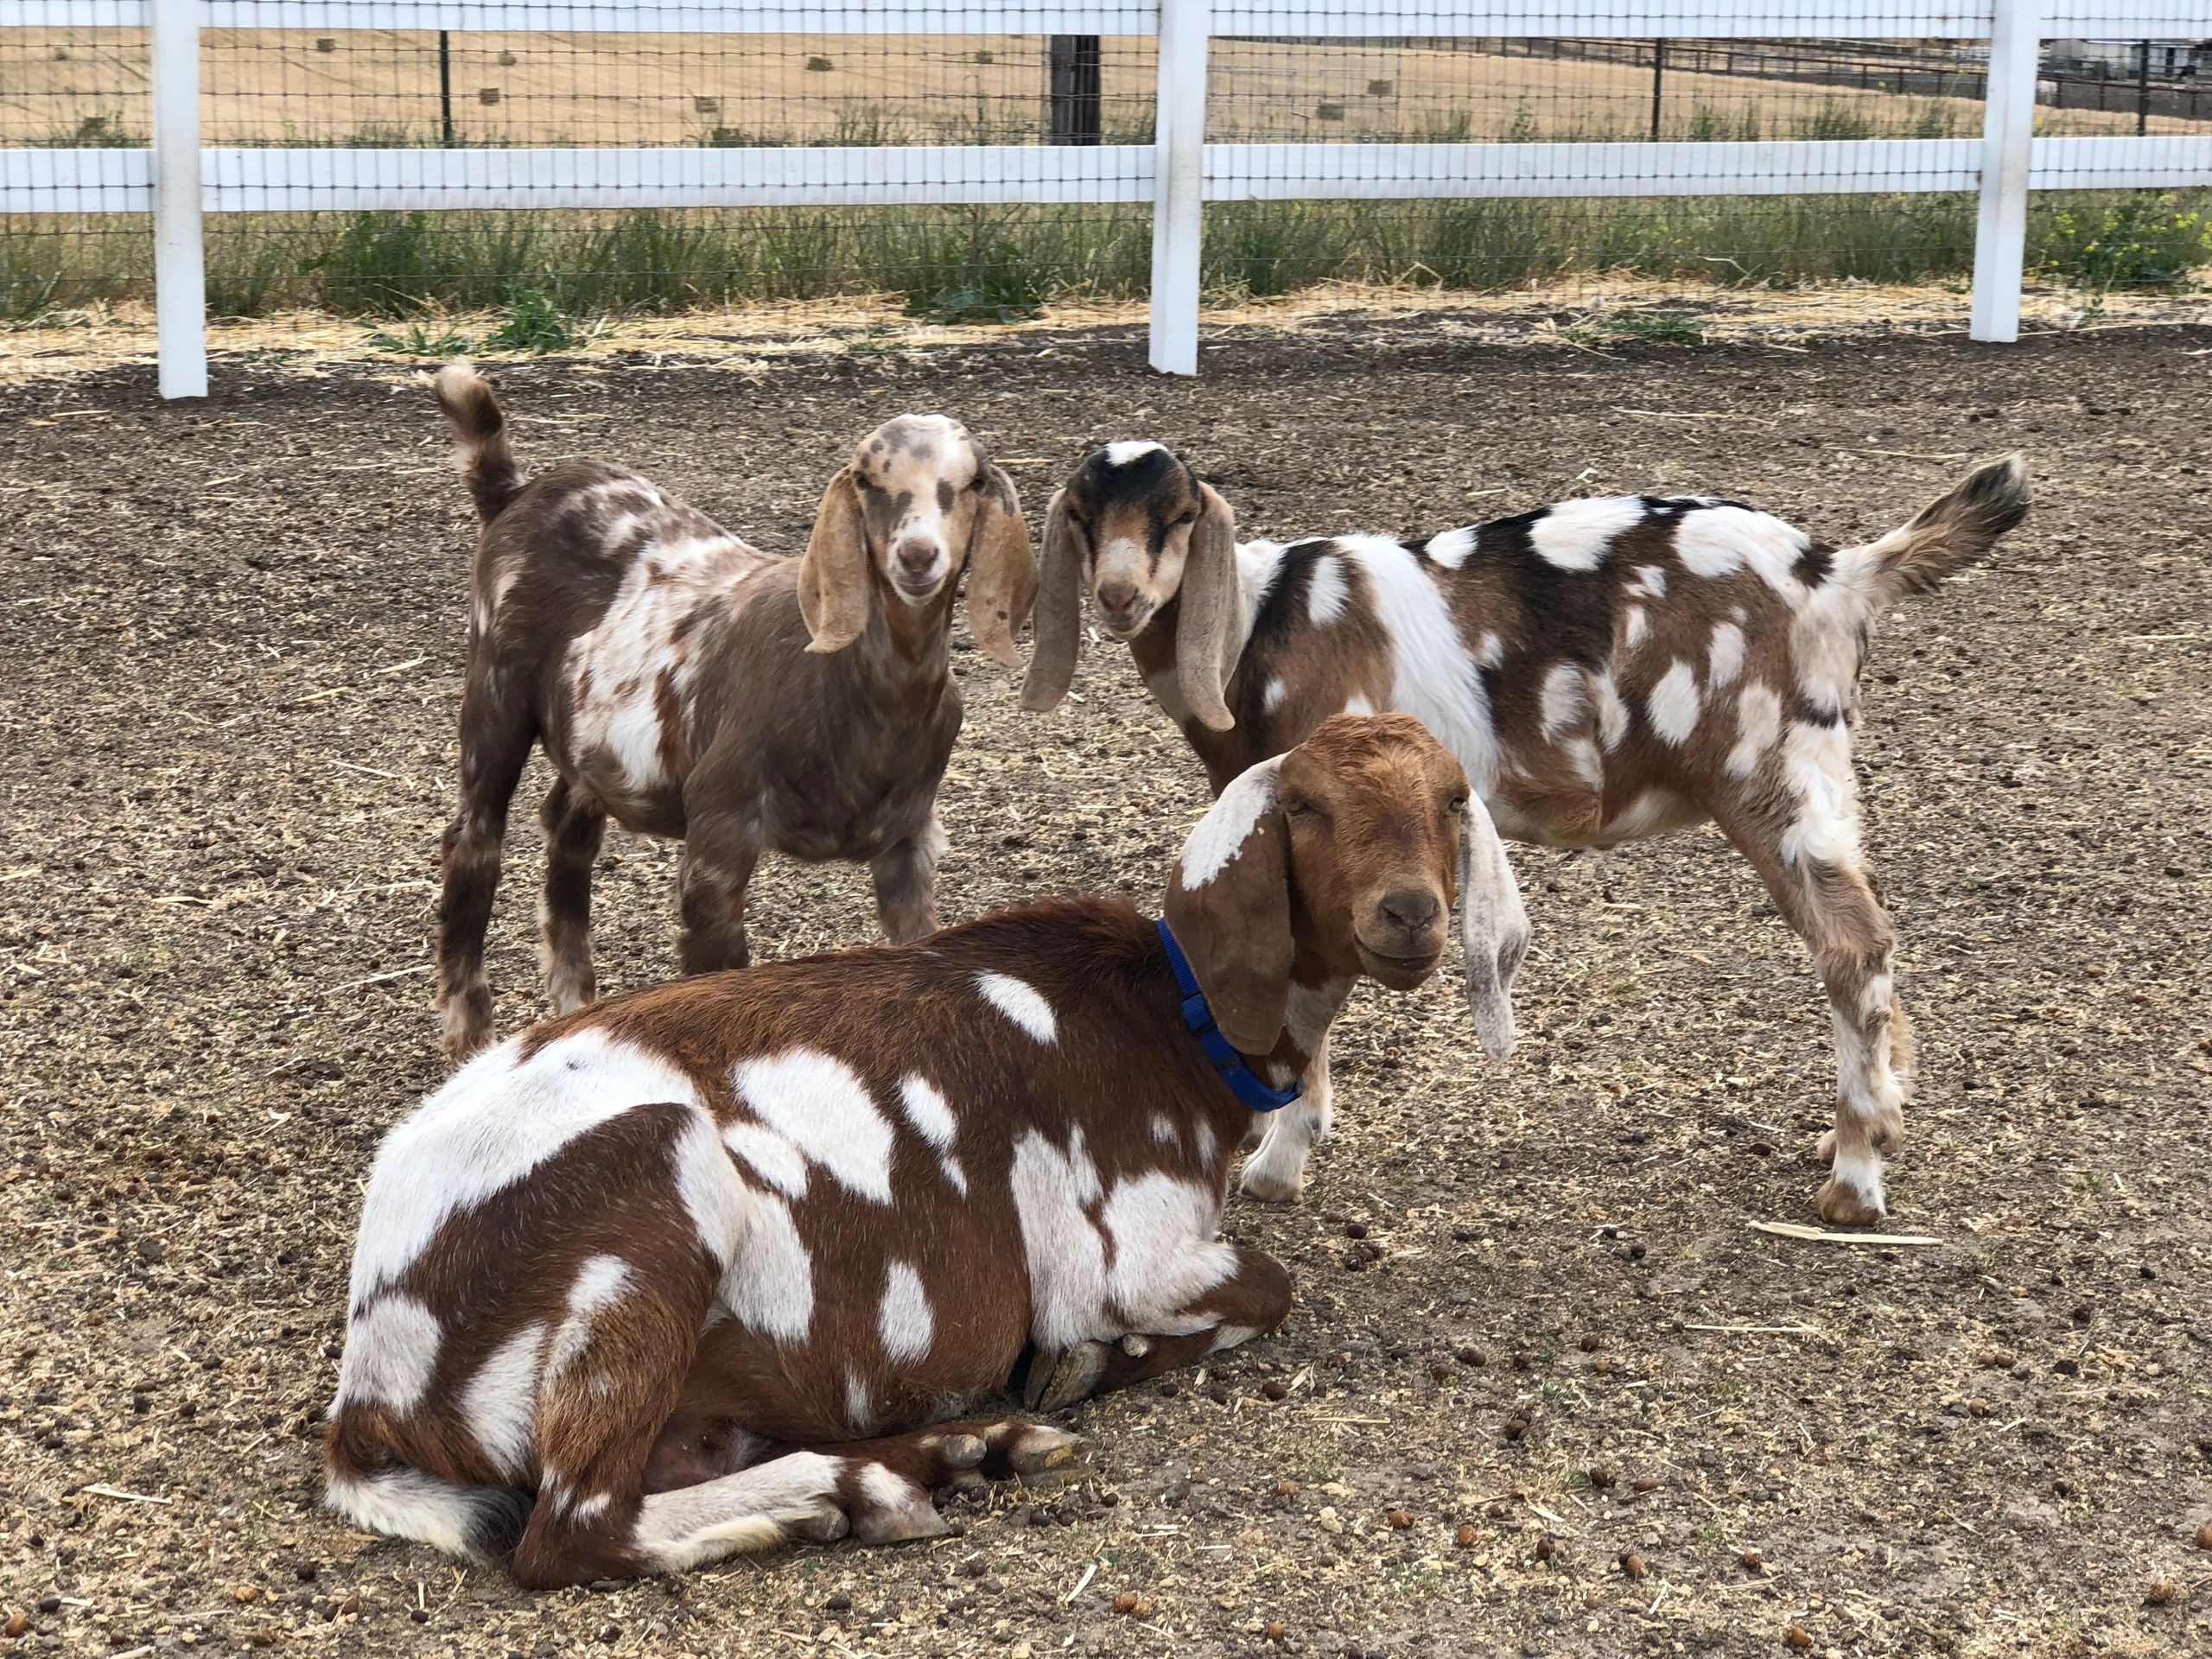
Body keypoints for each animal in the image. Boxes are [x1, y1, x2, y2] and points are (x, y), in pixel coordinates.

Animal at [323, 714, 1527, 1586]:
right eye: (1309, 808)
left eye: (1450, 802)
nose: (1409, 914)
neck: (1172, 1024)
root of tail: (368, 1397)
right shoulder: (1119, 1256)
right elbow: (1268, 1287)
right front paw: (1086, 1362)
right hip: (647, 1202)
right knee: (567, 1534)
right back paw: (861, 1493)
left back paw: (954, 1458)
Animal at [426, 364, 1036, 1060]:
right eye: (867, 481)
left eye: (972, 482)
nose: (916, 555)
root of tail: (516, 491)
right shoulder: (721, 823)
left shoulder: (909, 839)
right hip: (495, 687)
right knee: (474, 841)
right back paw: (469, 1031)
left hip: (589, 730)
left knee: (568, 829)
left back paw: (575, 1002)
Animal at [1021, 440, 2030, 1224]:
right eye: (1082, 513)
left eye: (1178, 515)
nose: (1118, 596)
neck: (1257, 625)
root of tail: (1843, 575)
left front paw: (1279, 1162)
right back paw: (1873, 1126)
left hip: (1770, 774)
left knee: (1852, 947)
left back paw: (1854, 1181)